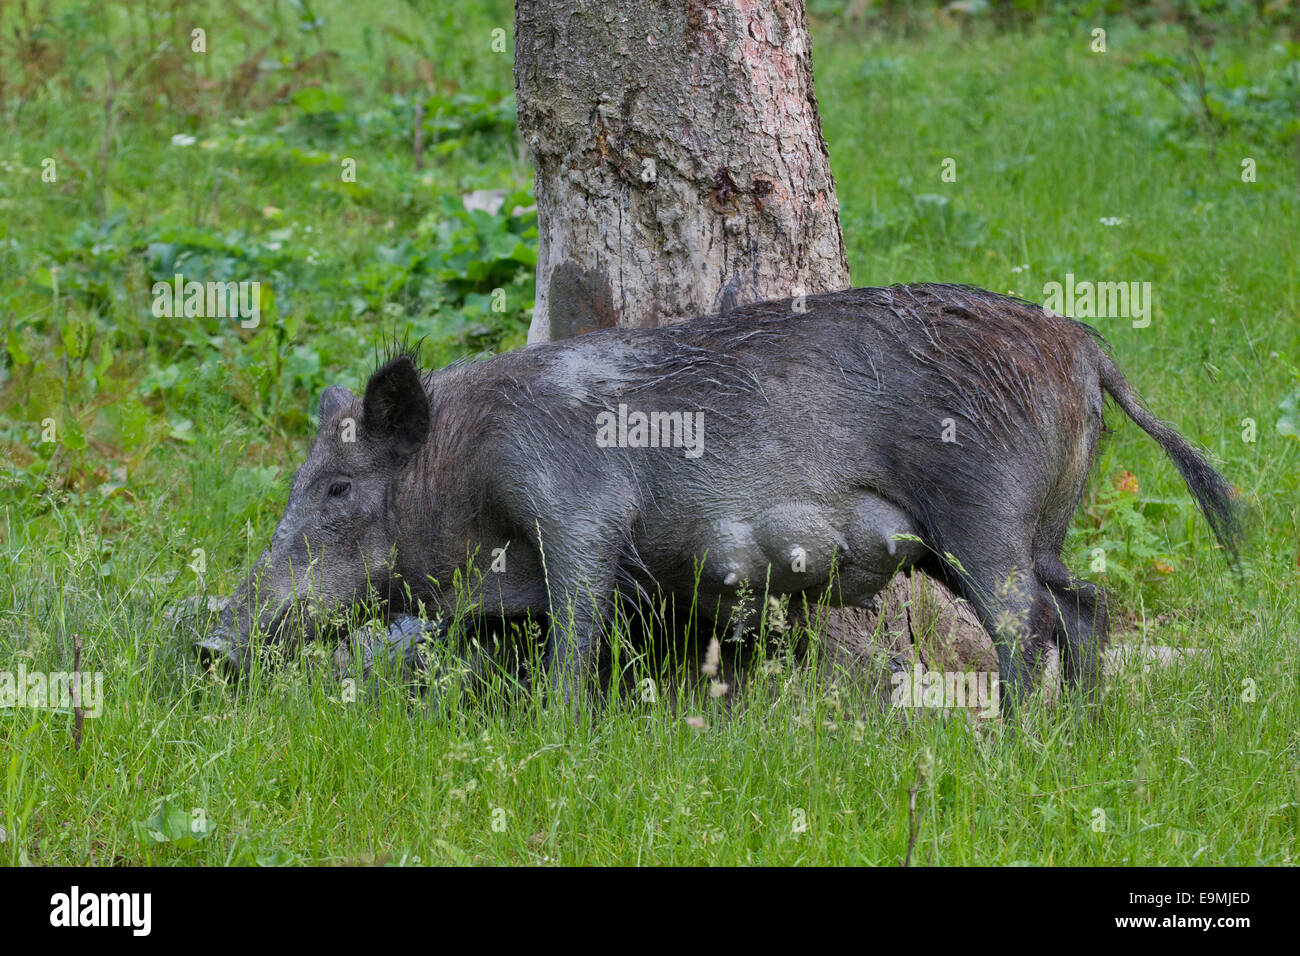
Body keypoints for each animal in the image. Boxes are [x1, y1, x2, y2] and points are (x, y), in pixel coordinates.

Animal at [198, 283, 1242, 712]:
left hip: (982, 510)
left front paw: (556, 728)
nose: (208, 645)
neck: (463, 468)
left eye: (338, 486)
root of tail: (1083, 344)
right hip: (1038, 525)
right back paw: (1084, 731)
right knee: (1087, 604)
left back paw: (1015, 744)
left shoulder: (575, 507)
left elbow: (578, 630)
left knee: (1025, 626)